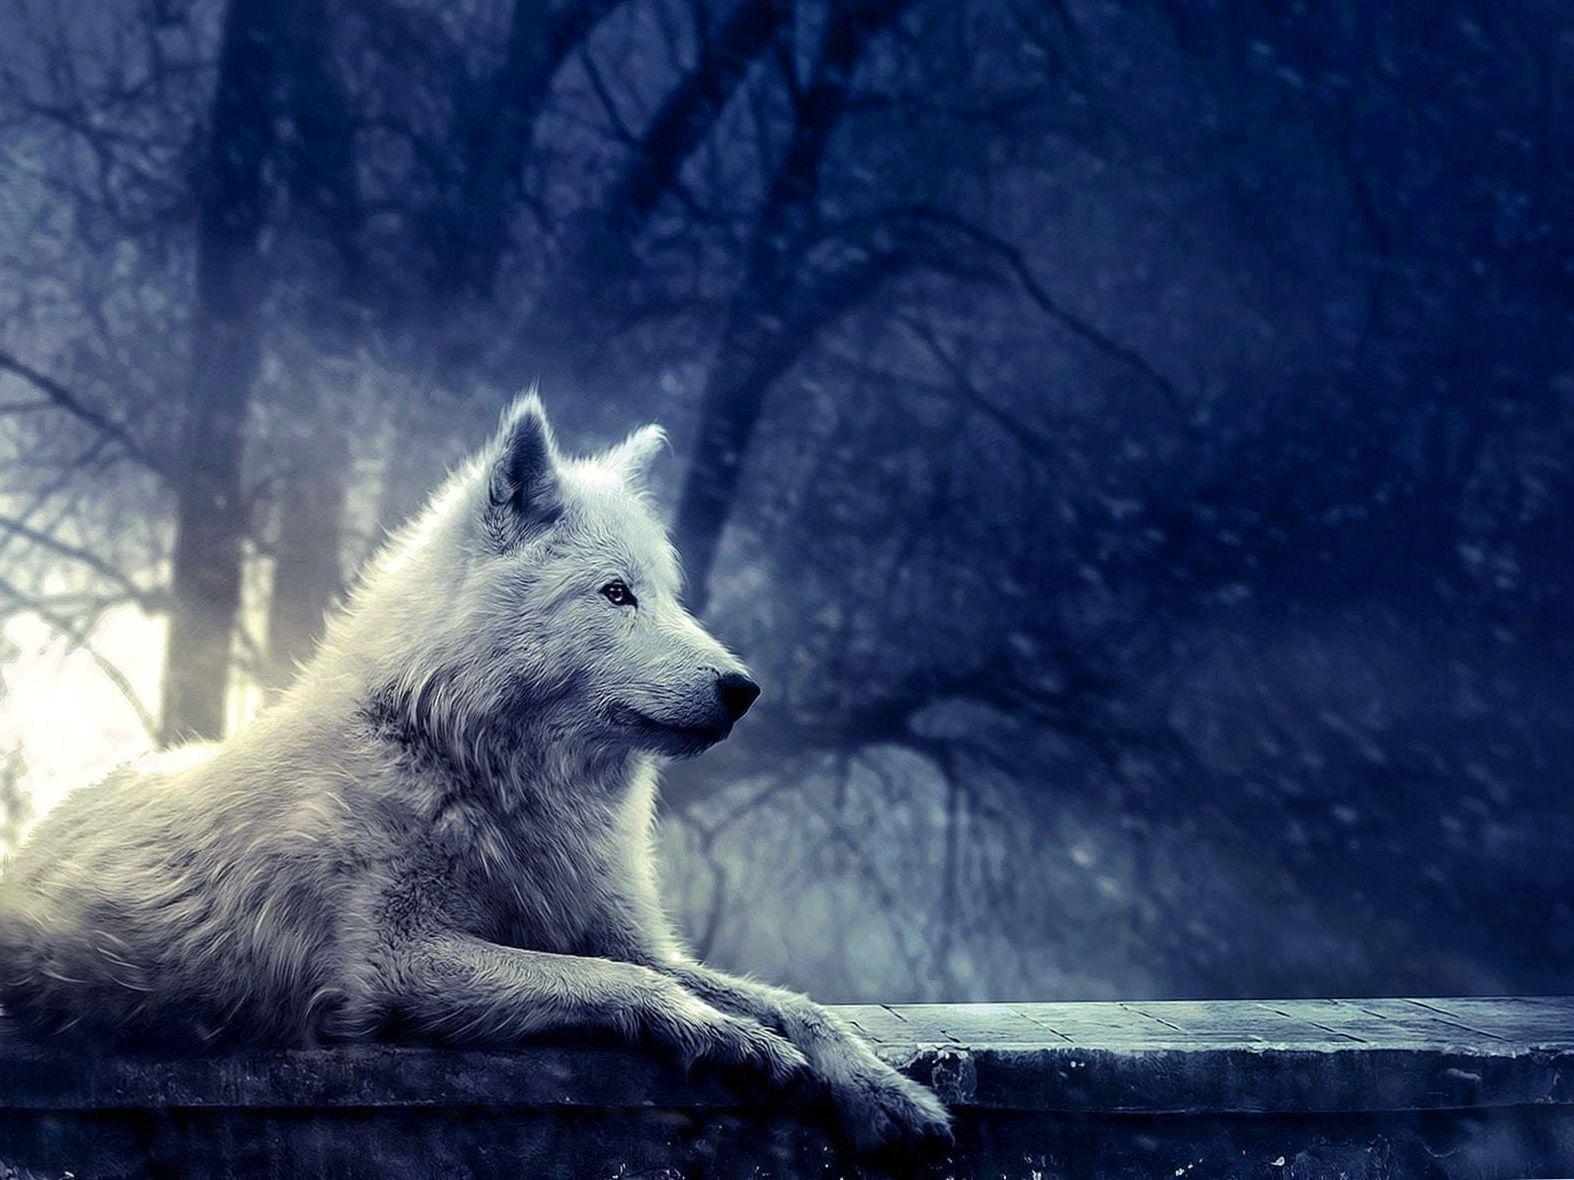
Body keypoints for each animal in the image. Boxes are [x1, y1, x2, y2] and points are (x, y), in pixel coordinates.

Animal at [0, 395, 949, 1150]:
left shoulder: (613, 931)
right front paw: (727, 1038)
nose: (744, 689)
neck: (468, 767)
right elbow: (623, 983)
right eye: (616, 594)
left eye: (669, 595)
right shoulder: (390, 965)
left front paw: (884, 1091)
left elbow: (791, 1002)